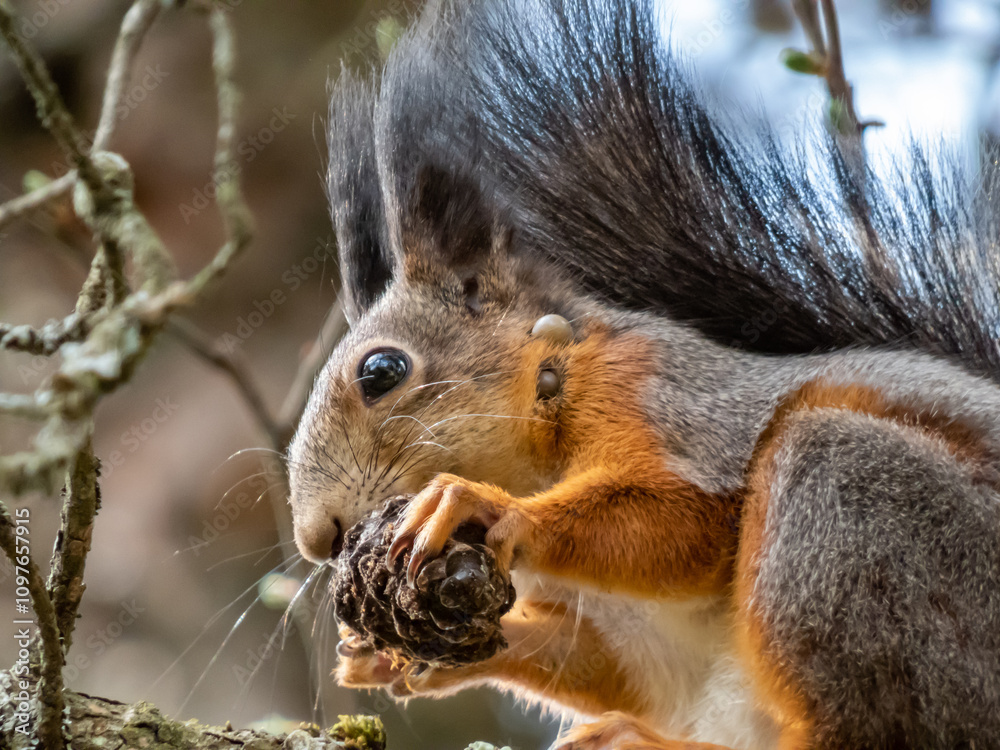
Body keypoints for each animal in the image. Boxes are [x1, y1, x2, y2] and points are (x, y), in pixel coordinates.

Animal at [286, 0, 1000, 747]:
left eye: (381, 370)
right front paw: (387, 656)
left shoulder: (660, 394)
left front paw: (489, 506)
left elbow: (685, 517)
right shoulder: (626, 635)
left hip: (857, 511)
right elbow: (617, 669)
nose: (318, 540)